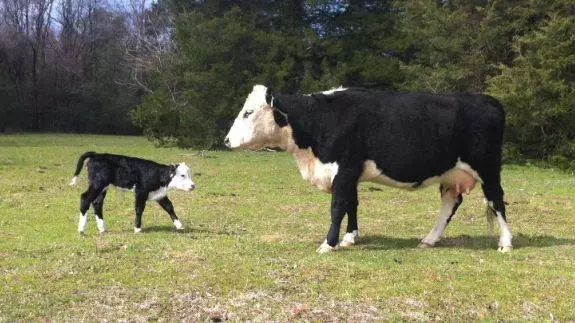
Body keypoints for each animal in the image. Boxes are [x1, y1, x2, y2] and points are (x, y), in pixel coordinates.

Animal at [224, 85, 512, 254]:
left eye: (248, 112)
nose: (226, 140)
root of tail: (487, 100)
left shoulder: (345, 168)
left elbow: (337, 206)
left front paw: (328, 244)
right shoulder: (350, 174)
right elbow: (352, 204)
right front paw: (350, 238)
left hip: (487, 167)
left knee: (497, 200)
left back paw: (506, 243)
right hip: (451, 173)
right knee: (450, 203)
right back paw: (429, 239)